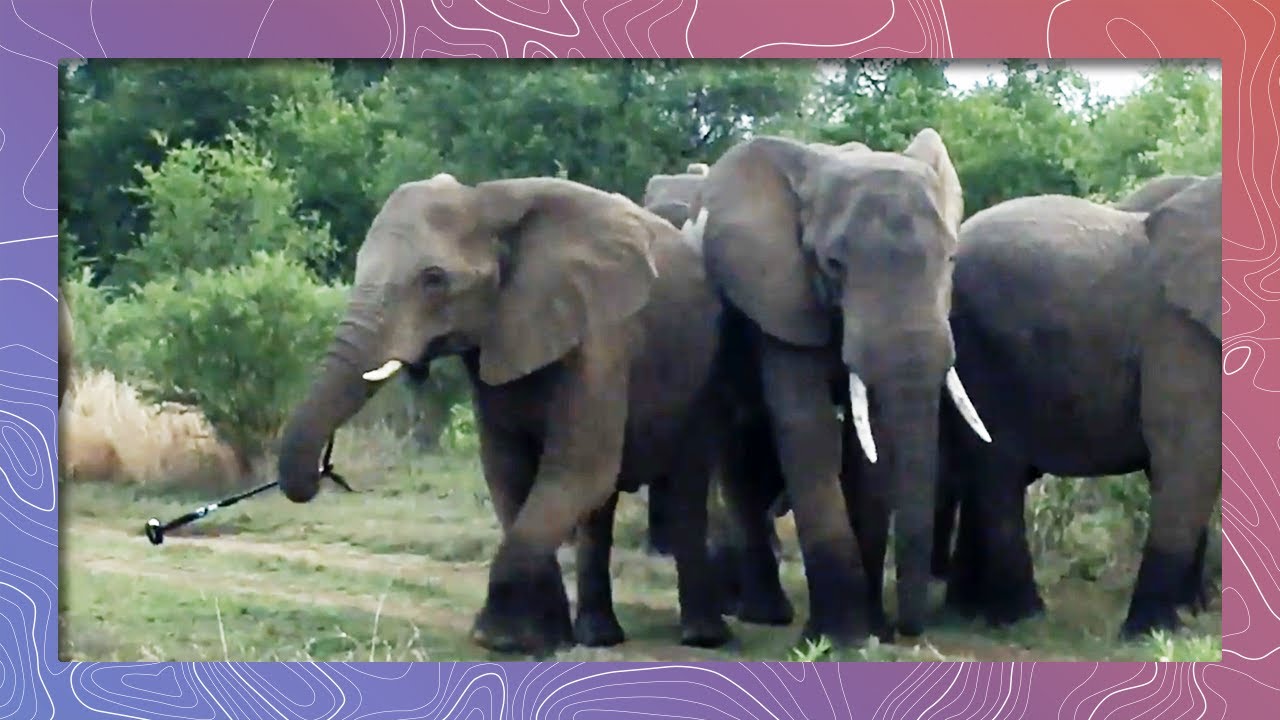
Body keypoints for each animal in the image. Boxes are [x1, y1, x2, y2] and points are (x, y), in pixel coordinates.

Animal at [275, 173, 733, 654]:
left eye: (433, 279)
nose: (322, 474)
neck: (486, 201)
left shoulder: (602, 338)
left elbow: (577, 471)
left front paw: (496, 636)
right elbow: (508, 472)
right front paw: (535, 637)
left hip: (704, 372)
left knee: (684, 490)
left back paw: (702, 637)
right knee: (600, 509)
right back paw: (598, 637)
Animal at [685, 128, 993, 644]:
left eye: (950, 257)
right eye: (833, 264)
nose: (908, 632)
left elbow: (866, 451)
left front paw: (871, 631)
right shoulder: (780, 298)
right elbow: (808, 427)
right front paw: (839, 638)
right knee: (738, 459)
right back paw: (766, 615)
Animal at [935, 174, 1222, 638]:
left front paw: (1190, 614)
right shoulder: (1180, 333)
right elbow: (1190, 457)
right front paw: (1150, 633)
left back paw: (970, 615)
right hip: (981, 355)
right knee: (997, 473)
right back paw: (1023, 619)